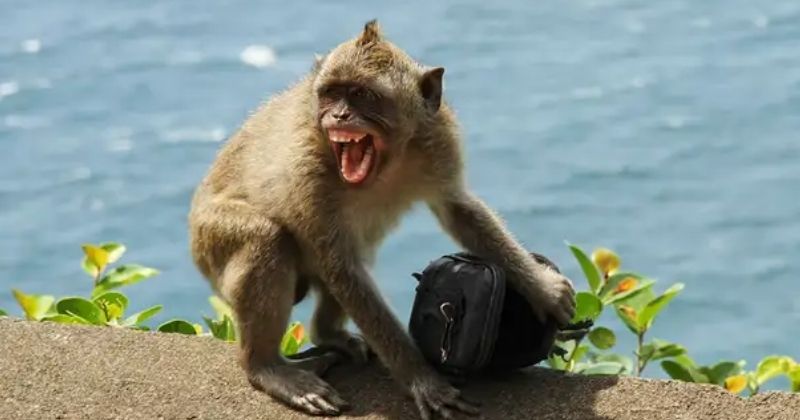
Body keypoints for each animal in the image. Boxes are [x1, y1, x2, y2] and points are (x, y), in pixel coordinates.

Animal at [188, 20, 576, 419]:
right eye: (331, 94)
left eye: (362, 94)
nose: (339, 116)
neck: (388, 162)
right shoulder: (306, 169)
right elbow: (342, 269)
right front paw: (423, 381)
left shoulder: (438, 138)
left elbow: (459, 210)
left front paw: (544, 291)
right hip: (210, 241)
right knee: (266, 238)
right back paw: (267, 368)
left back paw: (328, 334)